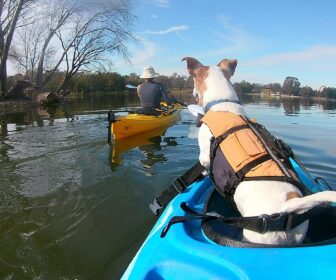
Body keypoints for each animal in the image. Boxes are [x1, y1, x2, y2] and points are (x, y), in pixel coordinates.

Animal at [184, 57, 336, 245]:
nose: (192, 93)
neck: (223, 104)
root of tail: (287, 207)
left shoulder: (205, 155)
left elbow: (204, 165)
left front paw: (204, 173)